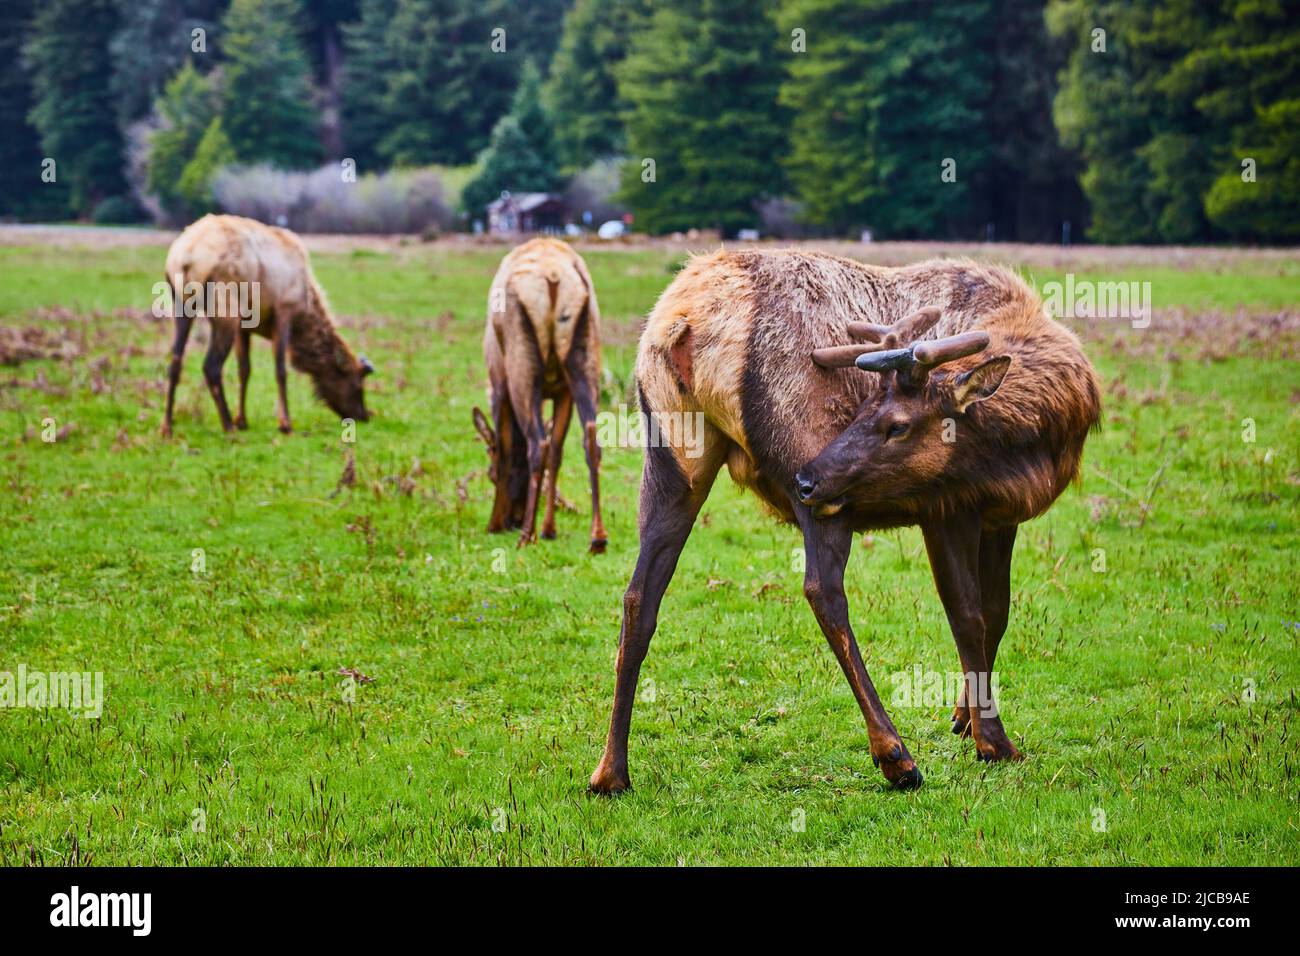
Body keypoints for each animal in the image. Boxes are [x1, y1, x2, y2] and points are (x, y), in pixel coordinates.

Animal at [160, 214, 373, 438]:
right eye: (357, 383)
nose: (364, 416)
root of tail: (185, 257)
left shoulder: (244, 327)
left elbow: (244, 370)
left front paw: (242, 420)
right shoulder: (283, 312)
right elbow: (281, 370)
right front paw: (285, 423)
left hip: (181, 306)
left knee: (175, 362)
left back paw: (167, 427)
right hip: (225, 308)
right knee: (211, 366)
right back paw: (227, 426)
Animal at [472, 238, 607, 552]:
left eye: (489, 474)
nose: (511, 519)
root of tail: (553, 276)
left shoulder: (498, 385)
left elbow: (507, 449)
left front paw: (494, 523)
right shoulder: (562, 391)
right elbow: (558, 452)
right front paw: (549, 529)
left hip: (522, 368)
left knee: (537, 444)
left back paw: (527, 535)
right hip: (585, 357)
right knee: (591, 439)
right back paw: (597, 537)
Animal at [588, 250, 1101, 794]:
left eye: (895, 424)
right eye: (872, 413)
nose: (806, 478)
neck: (1033, 437)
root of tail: (684, 320)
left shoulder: (1000, 515)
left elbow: (998, 613)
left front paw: (963, 717)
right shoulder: (947, 505)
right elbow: (968, 615)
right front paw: (992, 741)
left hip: (674, 458)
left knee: (639, 595)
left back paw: (610, 772)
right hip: (813, 474)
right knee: (823, 591)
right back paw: (895, 755)